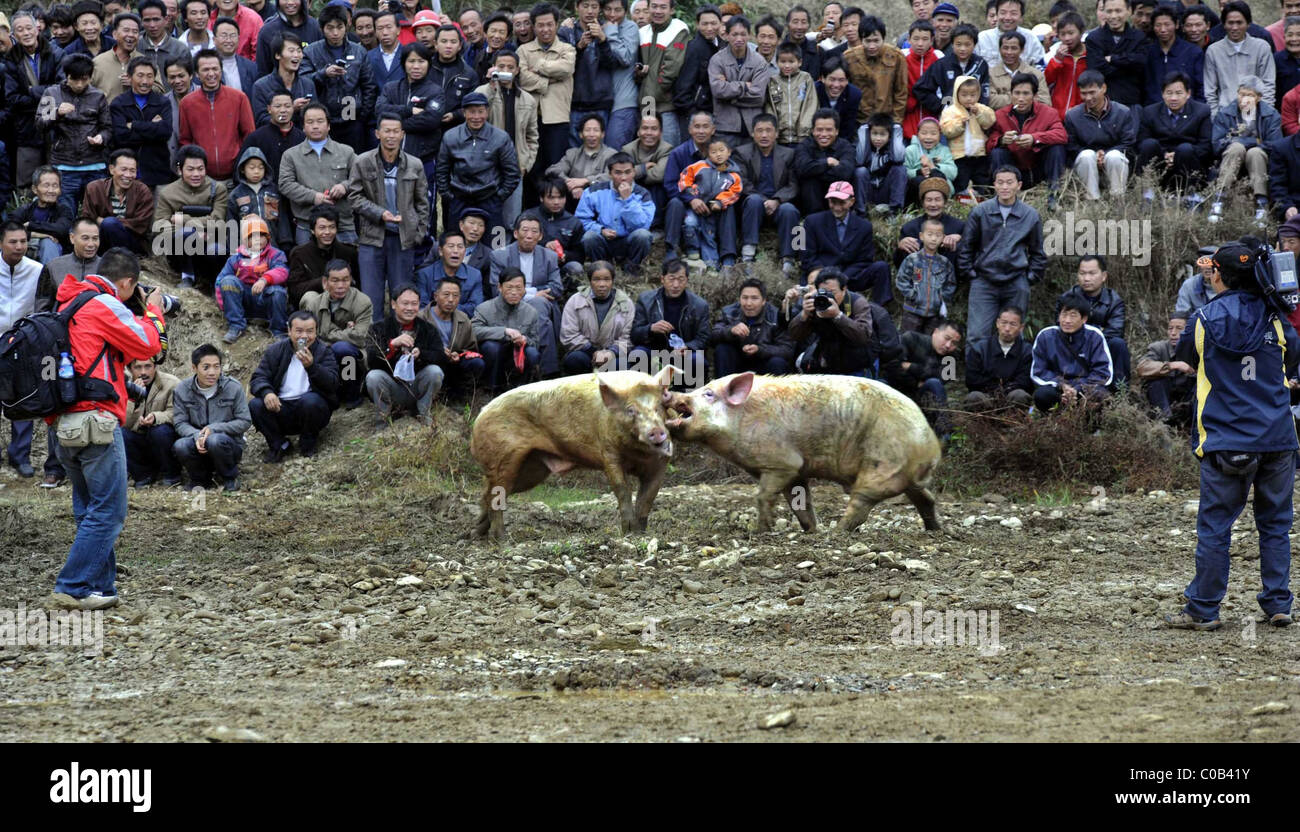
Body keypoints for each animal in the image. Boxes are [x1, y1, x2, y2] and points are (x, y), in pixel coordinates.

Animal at [470, 366, 677, 539]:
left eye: (659, 406)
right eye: (631, 410)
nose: (657, 431)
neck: (638, 455)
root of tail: (480, 415)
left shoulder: (659, 464)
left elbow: (647, 499)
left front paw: (640, 534)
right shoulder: (608, 453)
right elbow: (622, 490)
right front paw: (628, 533)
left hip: (532, 467)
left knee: (488, 493)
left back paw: (476, 533)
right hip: (503, 455)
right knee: (495, 495)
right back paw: (501, 539)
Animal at [667, 372, 941, 533]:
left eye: (708, 393)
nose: (671, 393)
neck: (742, 418)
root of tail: (932, 446)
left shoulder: (781, 463)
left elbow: (763, 495)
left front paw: (761, 531)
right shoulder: (796, 471)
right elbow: (802, 503)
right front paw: (810, 531)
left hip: (883, 467)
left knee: (861, 504)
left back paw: (836, 533)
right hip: (906, 477)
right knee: (926, 498)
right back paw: (935, 530)